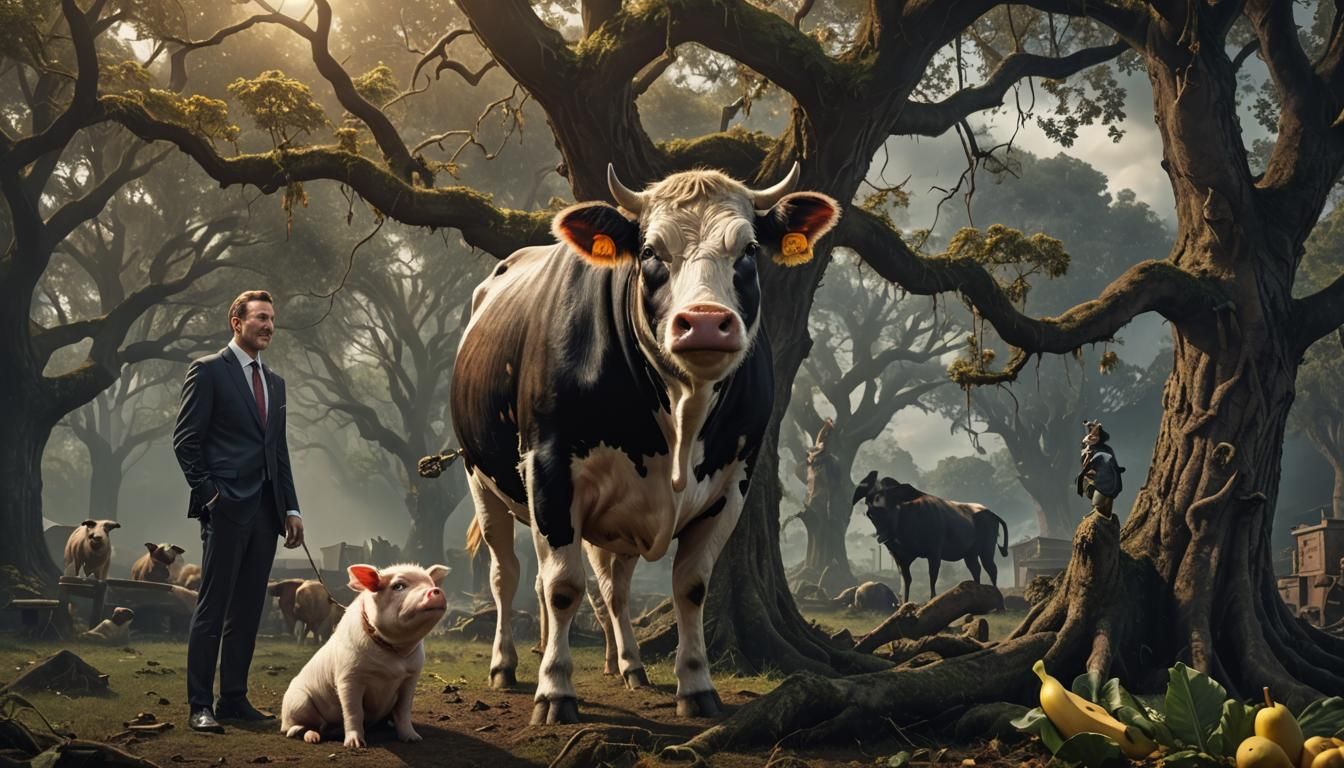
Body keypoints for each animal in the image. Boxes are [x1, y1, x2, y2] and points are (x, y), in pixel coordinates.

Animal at [452, 162, 839, 724]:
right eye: (652, 251)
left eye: (748, 250)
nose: (705, 323)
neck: (681, 413)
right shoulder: (549, 469)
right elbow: (562, 587)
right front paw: (555, 690)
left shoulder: (731, 483)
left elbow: (691, 587)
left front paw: (695, 686)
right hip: (482, 481)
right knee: (509, 574)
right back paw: (507, 665)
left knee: (612, 587)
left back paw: (629, 665)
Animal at [852, 471, 1008, 604]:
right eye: (869, 509)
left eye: (891, 502)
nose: (882, 536)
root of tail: (991, 513)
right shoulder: (900, 558)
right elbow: (906, 580)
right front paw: (905, 603)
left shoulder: (934, 553)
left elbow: (932, 576)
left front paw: (932, 599)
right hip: (970, 554)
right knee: (976, 569)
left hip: (987, 550)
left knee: (991, 569)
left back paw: (998, 602)